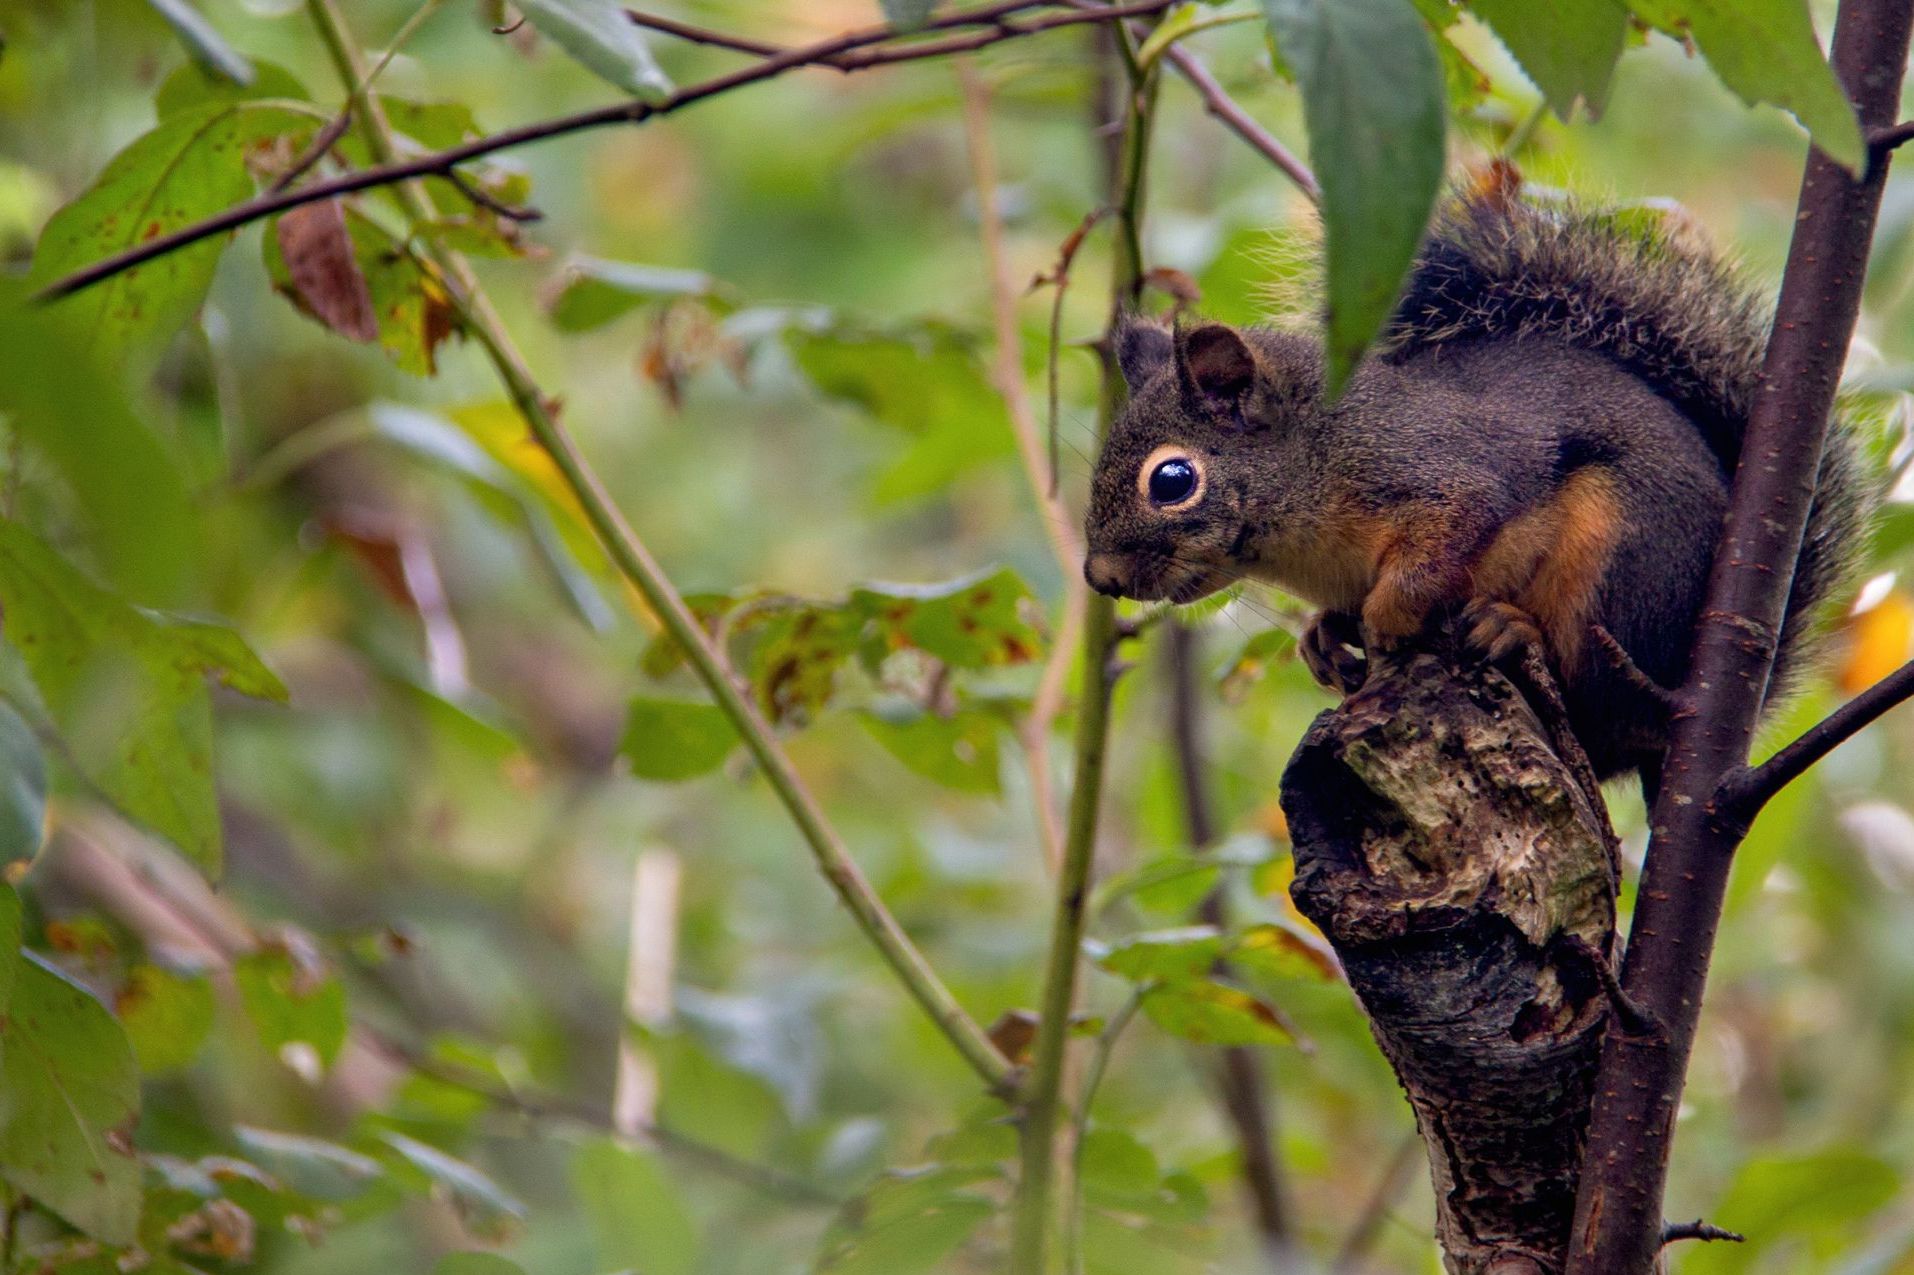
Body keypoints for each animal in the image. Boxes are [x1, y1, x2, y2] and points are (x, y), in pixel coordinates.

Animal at [1083, 187, 1873, 787]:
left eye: (1174, 479)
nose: (1099, 577)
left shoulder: (1444, 470)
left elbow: (1453, 533)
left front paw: (1387, 618)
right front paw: (1323, 637)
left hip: (1624, 567)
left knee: (1600, 696)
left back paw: (1511, 628)